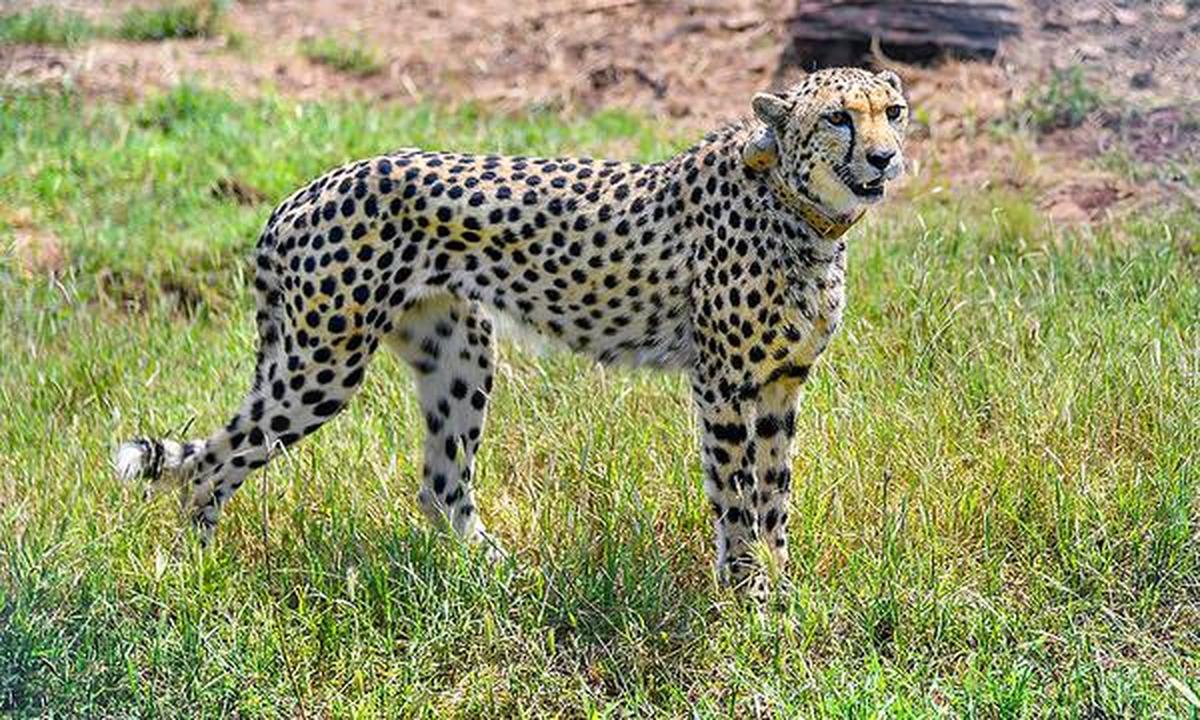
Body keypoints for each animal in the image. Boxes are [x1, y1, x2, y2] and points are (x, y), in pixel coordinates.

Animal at [115, 67, 909, 595]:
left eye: (893, 111)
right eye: (838, 118)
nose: (885, 156)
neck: (801, 211)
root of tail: (305, 190)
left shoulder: (780, 385)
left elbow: (775, 496)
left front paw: (784, 591)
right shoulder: (722, 385)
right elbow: (737, 499)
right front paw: (749, 598)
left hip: (459, 352)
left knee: (441, 485)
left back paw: (502, 575)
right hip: (322, 365)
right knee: (213, 462)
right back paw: (197, 573)